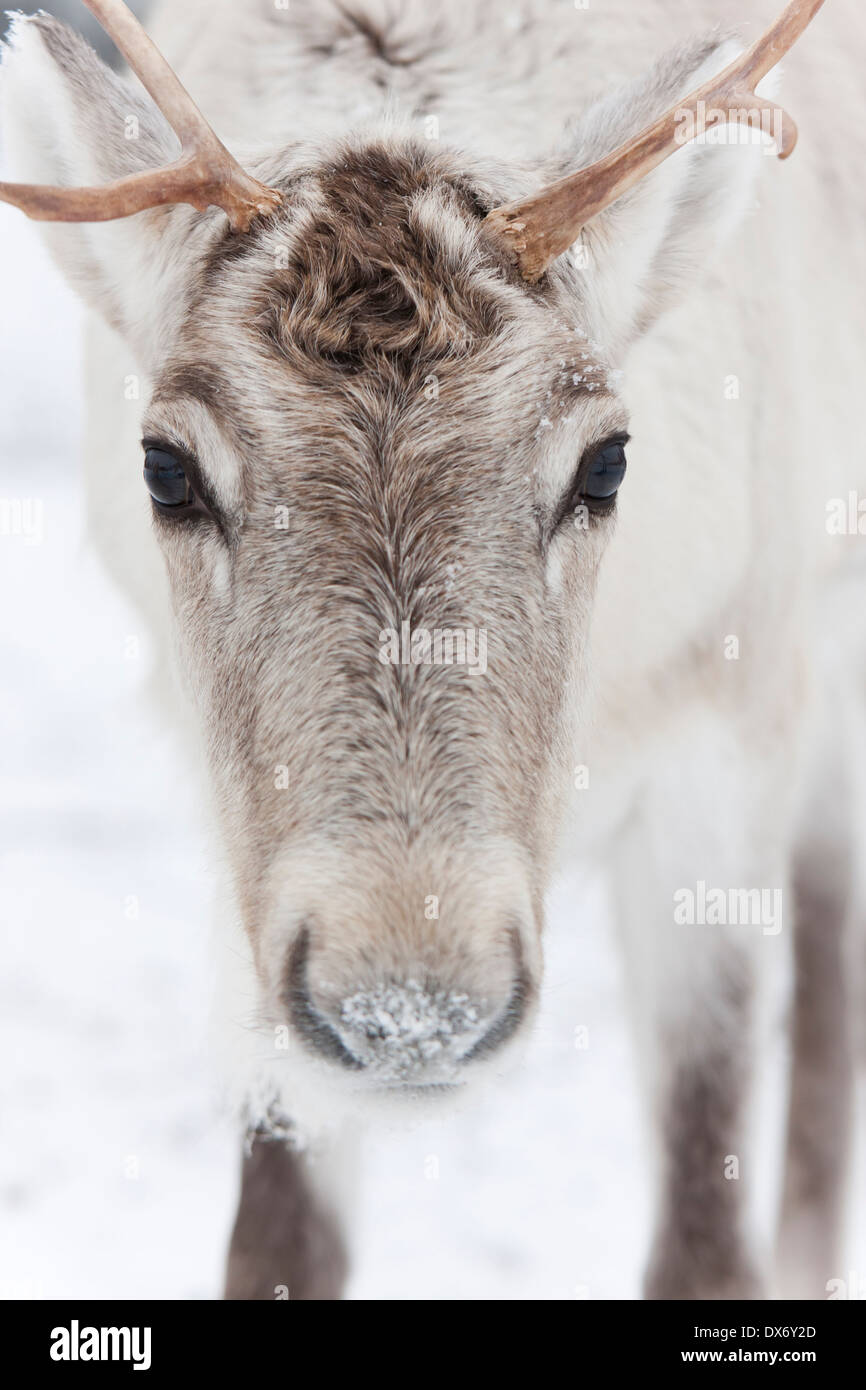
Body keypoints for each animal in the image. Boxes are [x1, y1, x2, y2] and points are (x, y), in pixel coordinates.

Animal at [1, 0, 863, 1300]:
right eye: (163, 467)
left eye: (606, 460)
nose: (413, 1012)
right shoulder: (251, 860)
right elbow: (276, 1245)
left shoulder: (726, 737)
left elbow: (706, 1245)